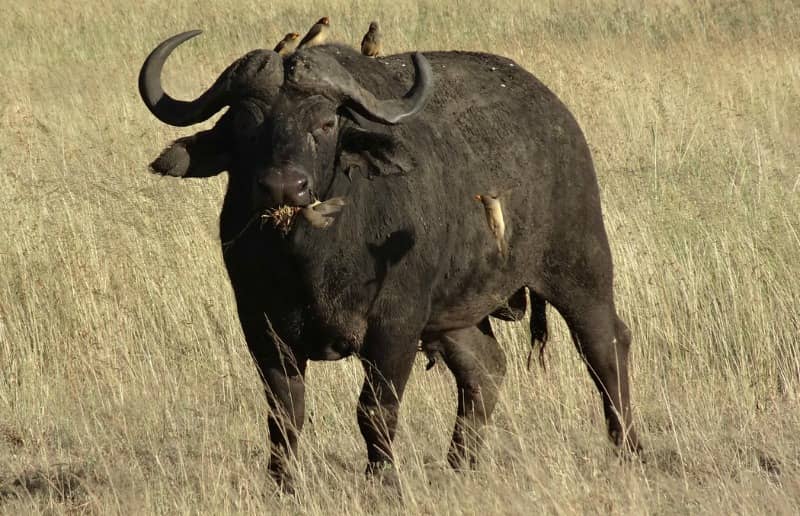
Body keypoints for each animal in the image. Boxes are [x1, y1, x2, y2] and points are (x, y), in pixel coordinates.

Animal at [138, 30, 641, 490]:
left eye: (325, 123)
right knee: (486, 368)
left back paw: (627, 448)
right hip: (454, 314)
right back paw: (459, 465)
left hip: (579, 265)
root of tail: (557, 115)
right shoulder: (261, 325)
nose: (284, 187)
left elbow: (375, 410)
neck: (310, 259)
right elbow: (284, 412)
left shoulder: (395, 325)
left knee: (606, 346)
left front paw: (382, 481)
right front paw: (281, 484)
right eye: (245, 122)